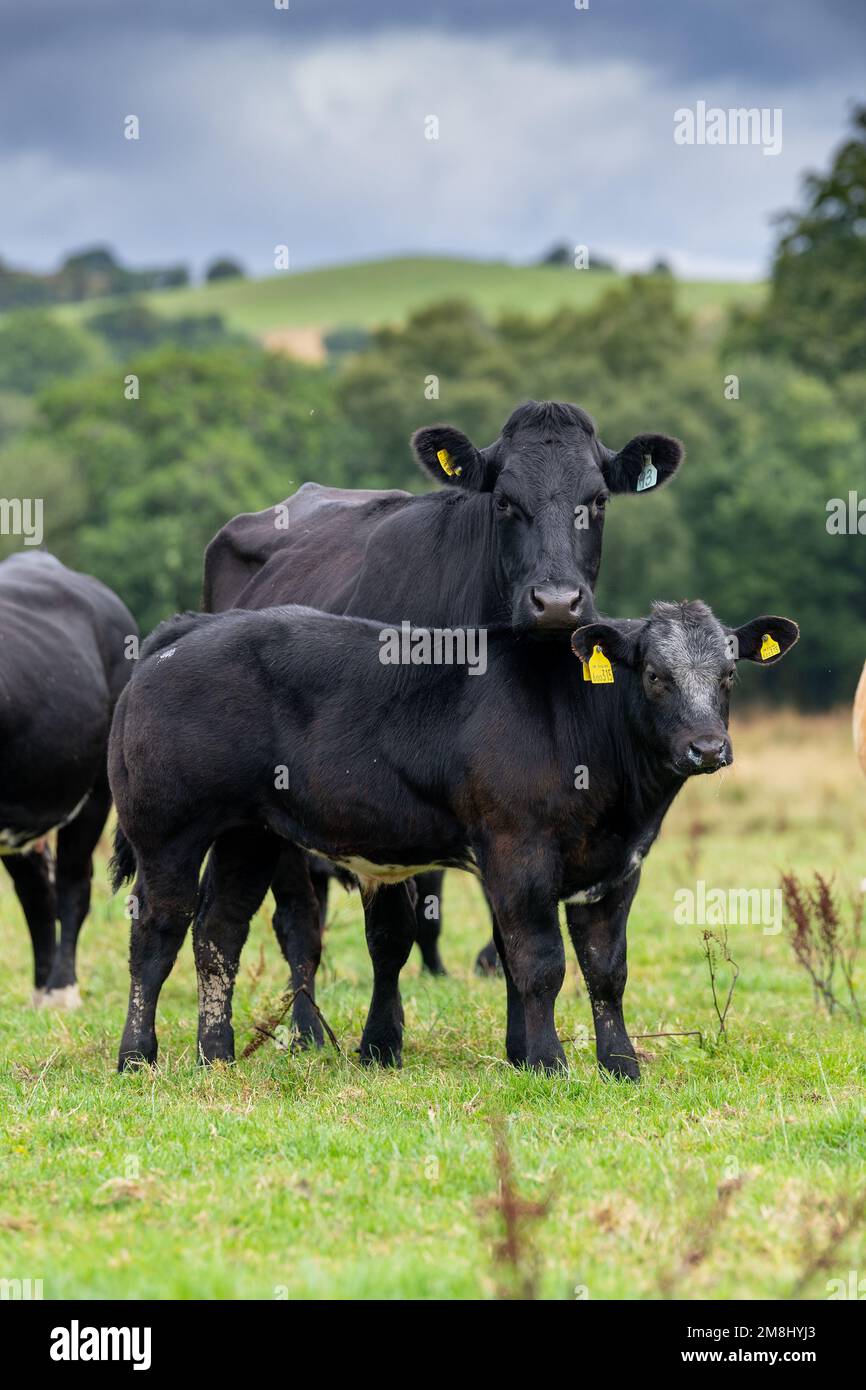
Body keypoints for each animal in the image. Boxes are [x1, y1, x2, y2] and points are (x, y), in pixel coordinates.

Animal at [108, 598, 797, 1076]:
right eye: (656, 675)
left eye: (729, 673)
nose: (707, 747)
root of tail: (192, 628)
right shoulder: (519, 854)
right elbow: (540, 963)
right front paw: (548, 1063)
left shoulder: (615, 869)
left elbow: (606, 970)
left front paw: (621, 1065)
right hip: (167, 833)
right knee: (157, 935)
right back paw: (137, 1056)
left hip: (248, 835)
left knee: (218, 933)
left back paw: (216, 1053)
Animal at [201, 400, 684, 1031]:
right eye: (504, 500)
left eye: (598, 500)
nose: (556, 603)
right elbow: (391, 935)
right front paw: (383, 1038)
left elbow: (509, 937)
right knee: (298, 921)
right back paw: (307, 1029)